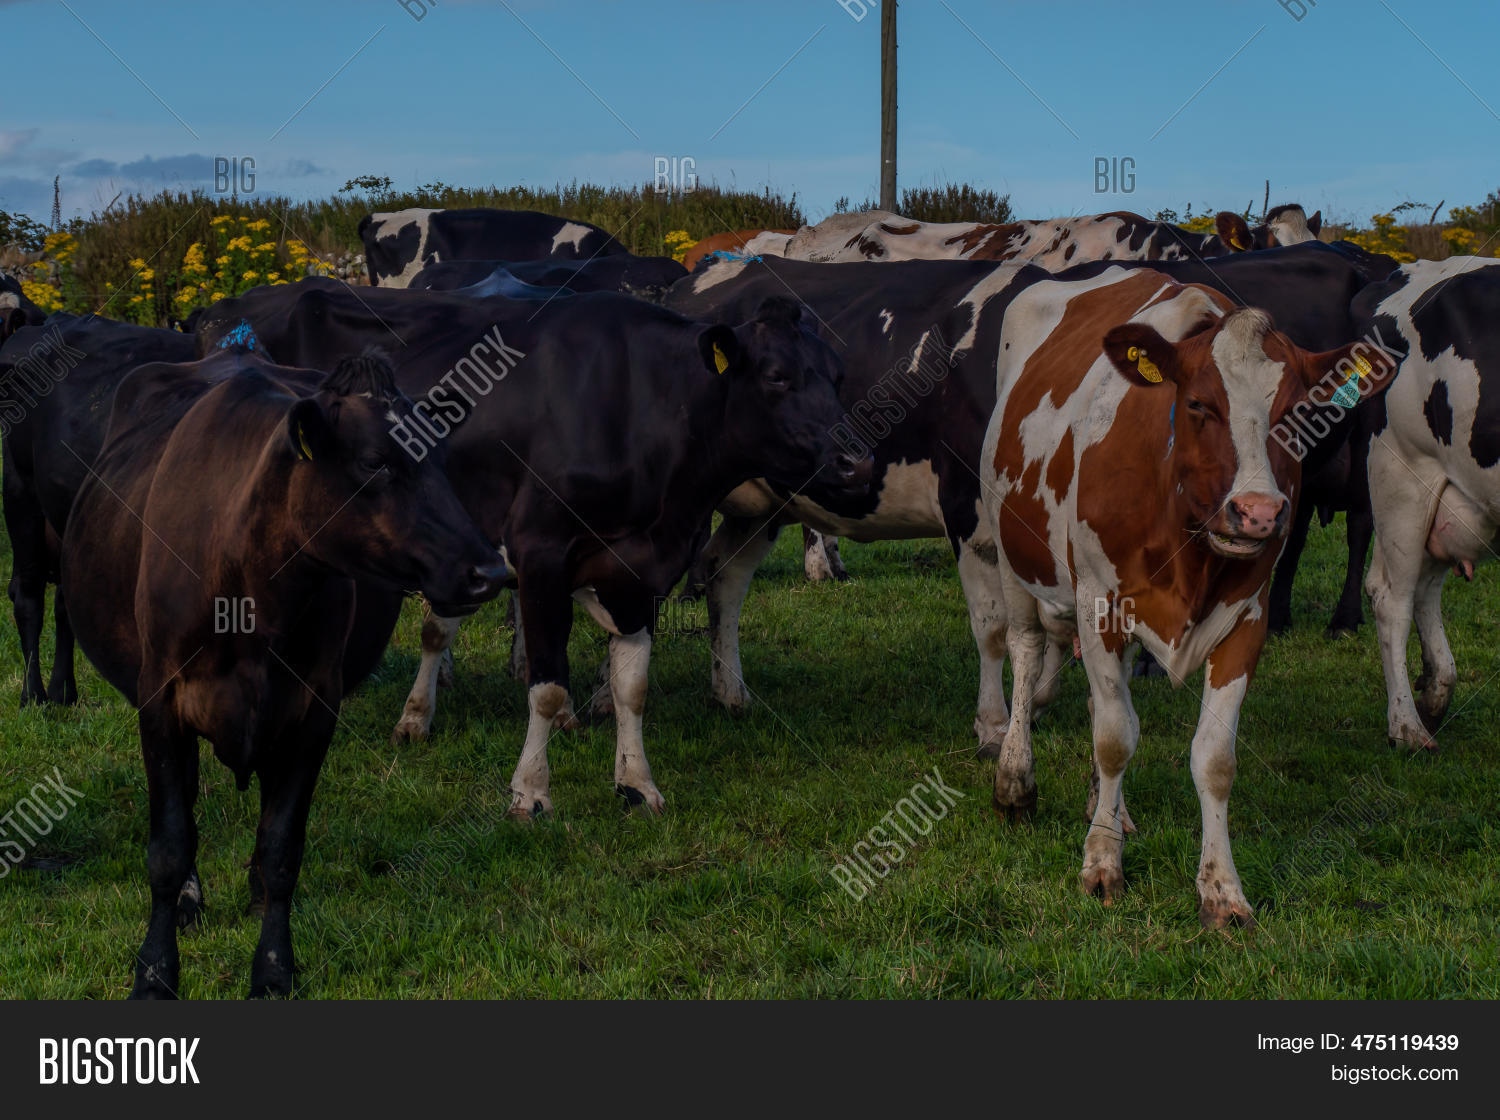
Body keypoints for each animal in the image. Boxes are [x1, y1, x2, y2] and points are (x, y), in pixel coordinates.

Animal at [61, 347, 508, 998]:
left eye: (443, 459)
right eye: (374, 464)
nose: (490, 572)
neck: (252, 592)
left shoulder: (314, 708)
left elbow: (282, 849)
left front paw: (273, 969)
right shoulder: (160, 701)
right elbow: (168, 846)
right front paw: (155, 970)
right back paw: (193, 900)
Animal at [196, 282, 872, 816]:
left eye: (839, 376)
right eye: (777, 377)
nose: (857, 461)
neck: (641, 406)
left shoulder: (638, 567)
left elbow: (631, 686)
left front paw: (636, 783)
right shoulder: (542, 549)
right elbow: (544, 686)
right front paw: (531, 792)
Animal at [664, 243, 1384, 754]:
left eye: (1296, 410)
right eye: (1200, 406)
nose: (1259, 508)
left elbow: (1052, 630)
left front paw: (1034, 701)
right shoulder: (969, 512)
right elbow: (993, 627)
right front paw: (992, 724)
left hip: (761, 504)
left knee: (725, 579)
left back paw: (730, 691)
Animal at [979, 273, 1396, 927]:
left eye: (1296, 411)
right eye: (1200, 405)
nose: (1258, 512)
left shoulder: (1247, 619)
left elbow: (1213, 759)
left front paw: (1221, 891)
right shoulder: (1098, 602)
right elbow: (1114, 738)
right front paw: (1102, 864)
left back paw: (1110, 809)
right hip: (1013, 555)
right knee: (1024, 655)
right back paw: (1016, 781)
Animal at [1354, 258, 1500, 750]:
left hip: (1455, 498)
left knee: (1424, 587)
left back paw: (1435, 694)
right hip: (1402, 471)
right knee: (1390, 597)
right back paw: (1406, 726)